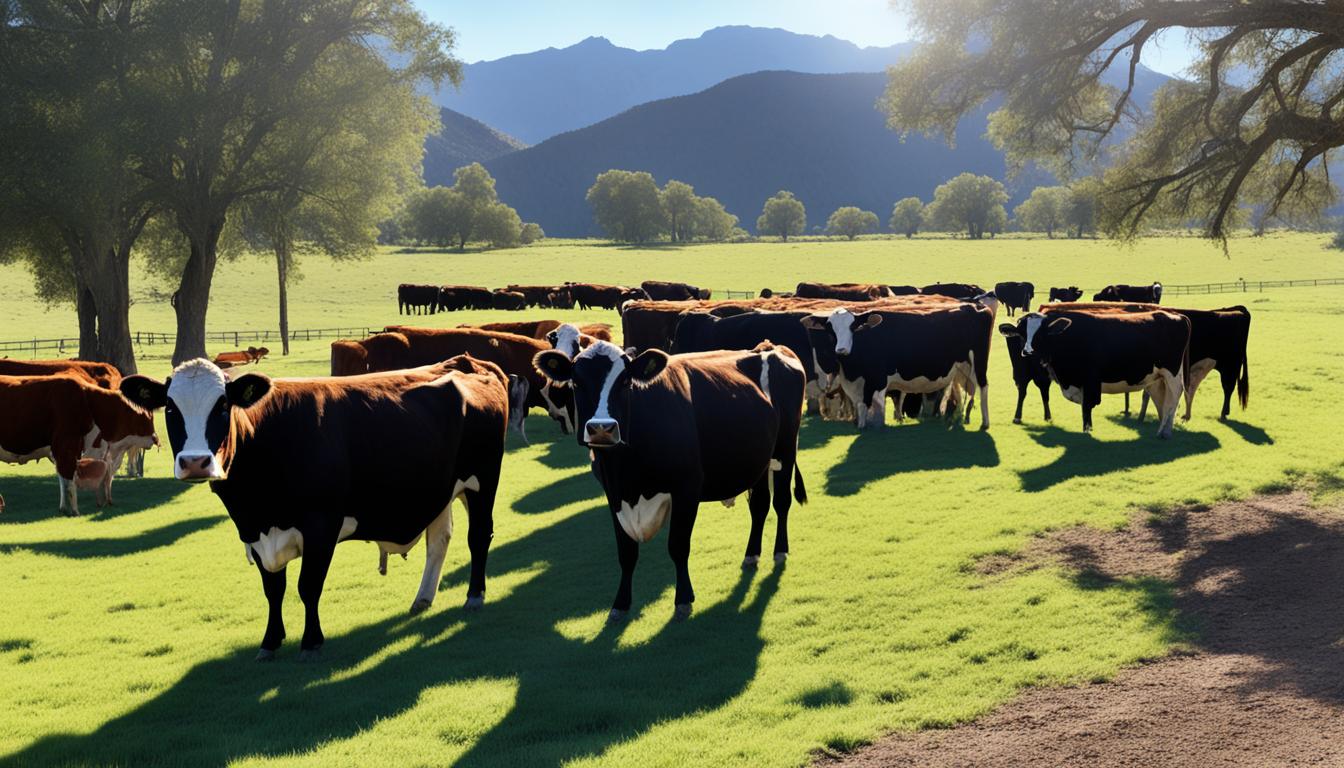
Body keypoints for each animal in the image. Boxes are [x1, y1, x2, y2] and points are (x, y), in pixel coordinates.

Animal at [0, 374, 155, 514]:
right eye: (147, 418)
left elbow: (65, 479)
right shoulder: (66, 446)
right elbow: (69, 479)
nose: (155, 438)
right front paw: (75, 510)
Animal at [120, 356, 508, 660]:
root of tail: (470, 363)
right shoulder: (253, 531)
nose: (196, 463)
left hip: (482, 479)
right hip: (440, 489)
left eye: (223, 406)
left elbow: (308, 585)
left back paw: (474, 596)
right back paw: (423, 598)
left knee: (478, 536)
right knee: (439, 540)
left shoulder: (322, 524)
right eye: (171, 408)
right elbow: (273, 589)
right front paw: (270, 642)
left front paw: (311, 642)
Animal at [533, 341, 807, 620]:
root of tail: (771, 348)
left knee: (781, 502)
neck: (627, 473)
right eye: (576, 382)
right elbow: (626, 552)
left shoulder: (687, 487)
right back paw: (751, 555)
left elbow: (678, 545)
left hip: (786, 449)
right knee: (759, 506)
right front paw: (620, 604)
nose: (601, 429)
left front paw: (683, 599)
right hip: (759, 461)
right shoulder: (613, 493)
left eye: (625, 382)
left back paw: (780, 550)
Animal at [802, 302, 995, 430]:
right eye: (830, 329)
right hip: (962, 369)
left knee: (983, 387)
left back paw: (985, 422)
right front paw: (861, 427)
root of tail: (974, 306)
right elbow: (861, 407)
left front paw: (877, 428)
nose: (841, 350)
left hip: (979, 362)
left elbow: (876, 408)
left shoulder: (878, 381)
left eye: (853, 327)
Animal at [998, 307, 1190, 438]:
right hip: (1157, 377)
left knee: (1174, 396)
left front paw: (1087, 431)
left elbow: (1086, 408)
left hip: (1172, 373)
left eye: (1042, 333)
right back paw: (1162, 429)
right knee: (1162, 399)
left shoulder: (1090, 381)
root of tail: (1177, 315)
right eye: (1021, 334)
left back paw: (1165, 433)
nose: (1028, 352)